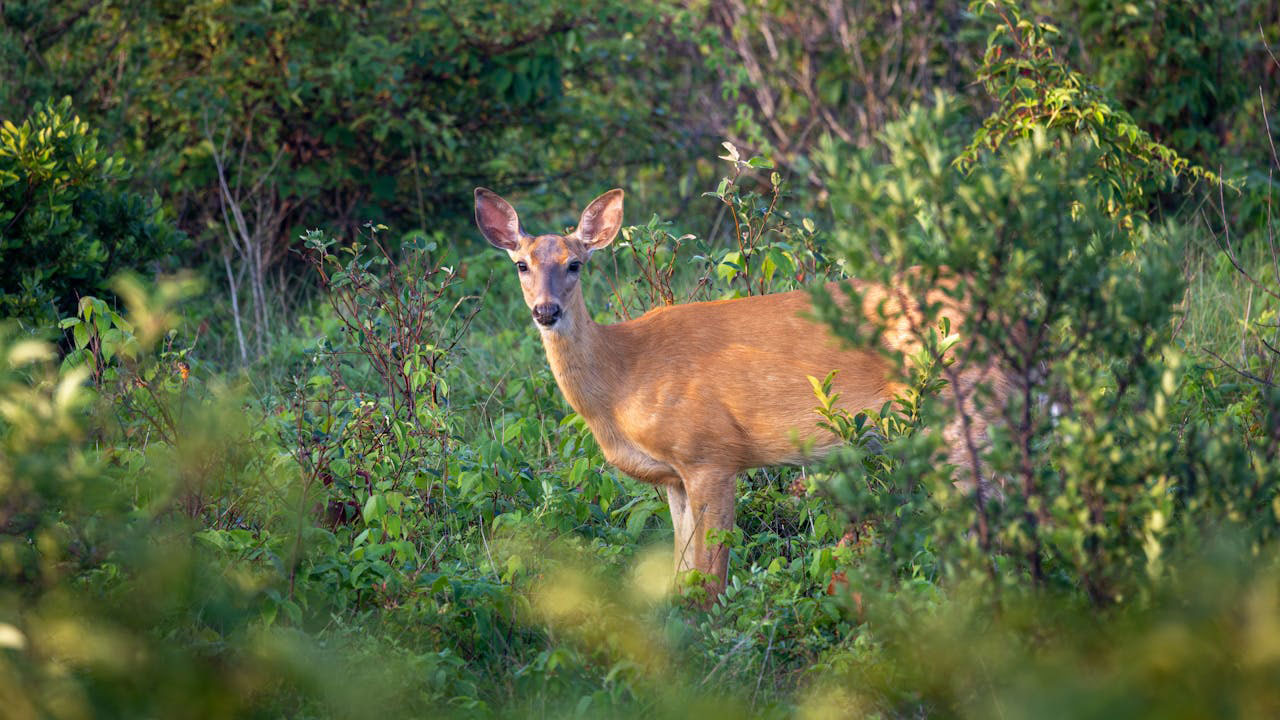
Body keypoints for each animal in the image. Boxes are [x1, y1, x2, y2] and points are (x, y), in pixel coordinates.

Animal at [474, 187, 1008, 598]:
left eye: (576, 264)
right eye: (521, 265)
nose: (546, 311)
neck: (623, 377)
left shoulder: (710, 452)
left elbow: (710, 576)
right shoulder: (674, 476)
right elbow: (681, 566)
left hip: (967, 415)